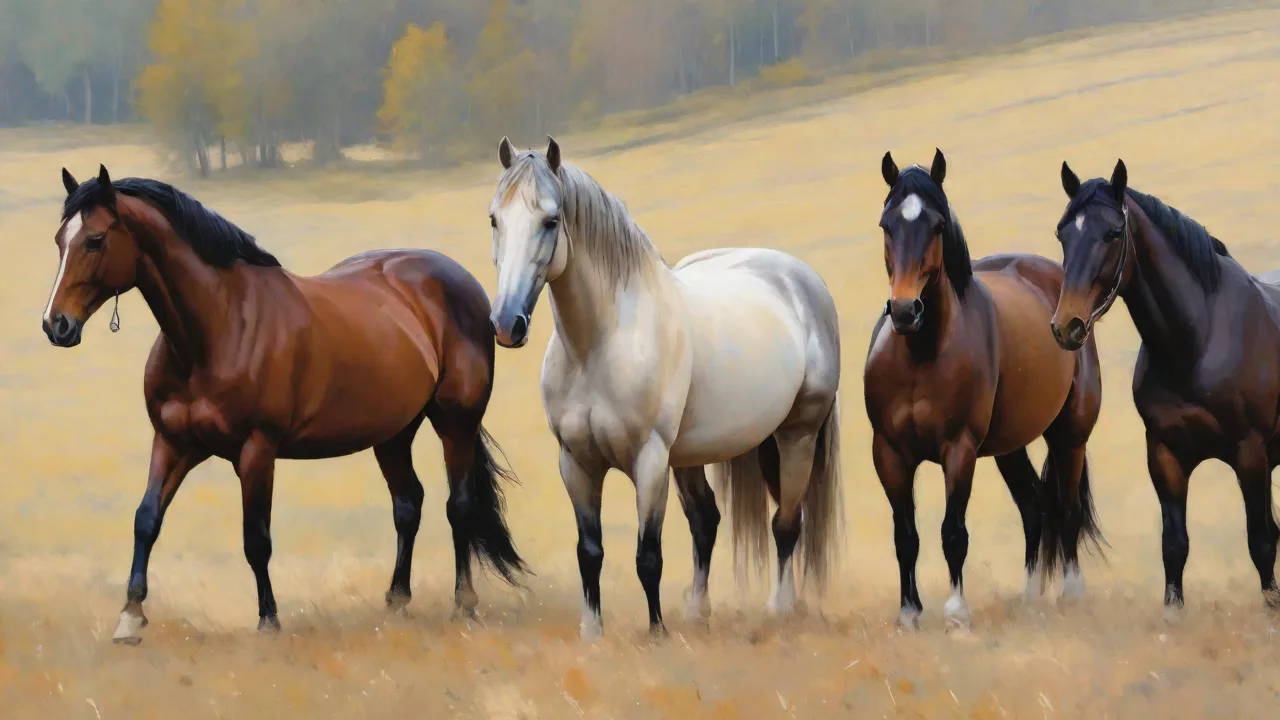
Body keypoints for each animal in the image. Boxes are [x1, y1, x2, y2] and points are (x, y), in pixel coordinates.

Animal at [41, 165, 528, 643]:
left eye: (95, 239)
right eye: (60, 239)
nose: (55, 324)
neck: (217, 328)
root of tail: (464, 285)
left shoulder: (257, 450)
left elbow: (256, 538)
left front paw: (269, 620)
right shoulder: (173, 442)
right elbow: (146, 519)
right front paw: (130, 616)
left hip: (456, 422)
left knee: (458, 506)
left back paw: (464, 606)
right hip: (393, 433)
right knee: (408, 506)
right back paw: (396, 602)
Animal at [485, 137, 843, 640]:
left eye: (551, 221)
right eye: (495, 219)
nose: (506, 324)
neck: (599, 345)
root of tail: (802, 279)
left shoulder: (649, 460)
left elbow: (648, 555)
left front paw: (656, 633)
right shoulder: (576, 463)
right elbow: (589, 552)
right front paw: (592, 632)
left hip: (797, 436)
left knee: (787, 523)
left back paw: (780, 608)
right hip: (692, 455)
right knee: (707, 521)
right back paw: (698, 610)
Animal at [864, 150, 1104, 630]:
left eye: (938, 225)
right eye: (886, 225)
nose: (904, 310)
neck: (920, 353)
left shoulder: (959, 449)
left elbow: (952, 532)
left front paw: (956, 613)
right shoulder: (889, 453)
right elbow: (906, 536)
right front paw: (909, 612)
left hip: (1069, 437)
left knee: (1067, 509)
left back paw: (1071, 592)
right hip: (1009, 447)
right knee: (1035, 508)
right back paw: (1030, 596)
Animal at [1051, 159, 1280, 614]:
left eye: (1113, 233)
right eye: (1062, 233)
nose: (1067, 326)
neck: (1199, 340)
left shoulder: (1251, 455)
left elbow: (1261, 542)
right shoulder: (1164, 454)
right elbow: (1174, 544)